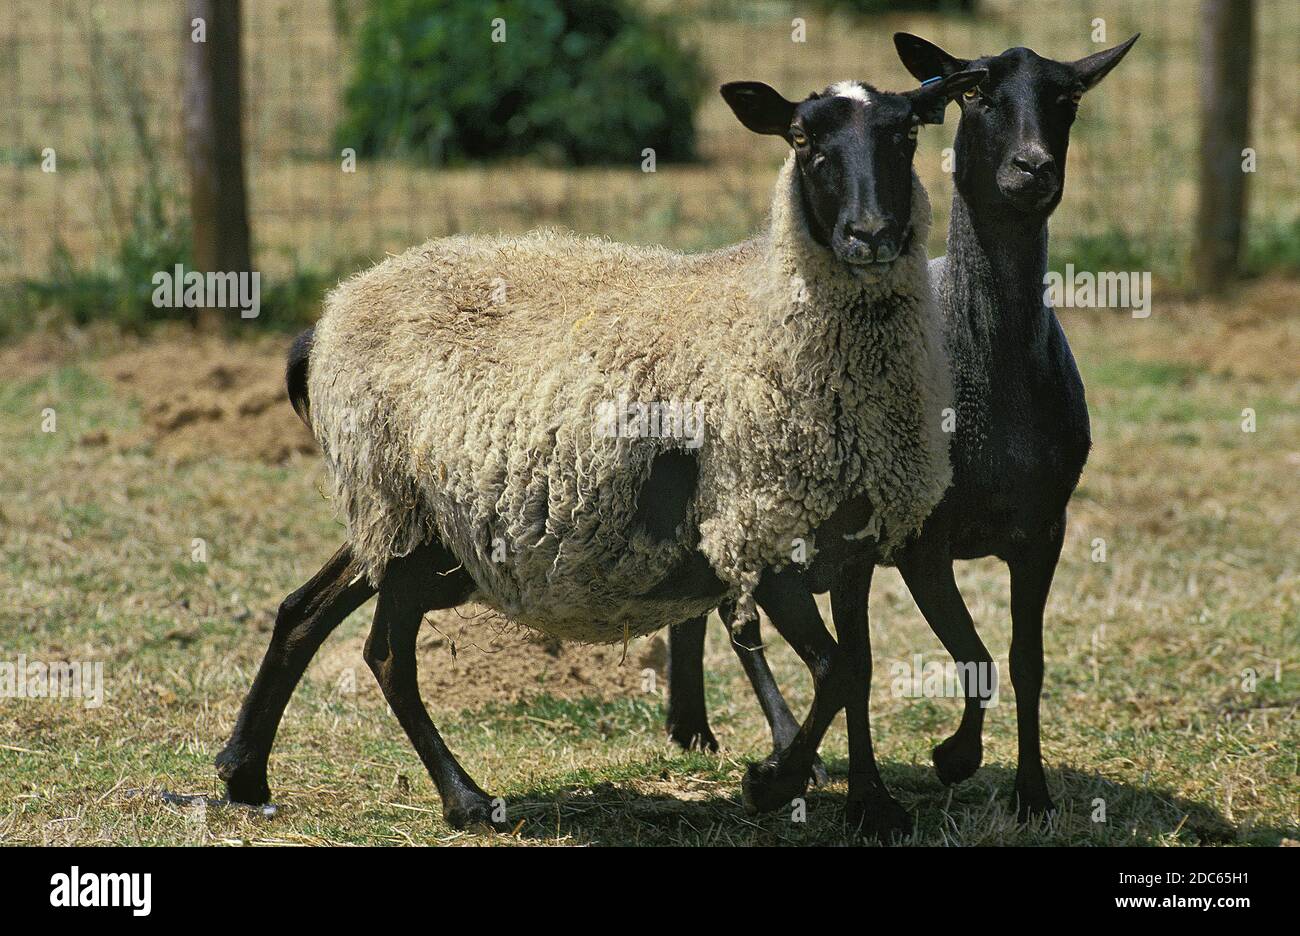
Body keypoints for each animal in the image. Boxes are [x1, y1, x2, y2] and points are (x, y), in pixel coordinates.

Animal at [216, 68, 987, 830]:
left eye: (907, 132)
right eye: (802, 139)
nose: (870, 234)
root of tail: (329, 316)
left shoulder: (856, 534)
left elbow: (858, 666)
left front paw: (873, 803)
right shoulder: (757, 531)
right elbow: (836, 670)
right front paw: (772, 781)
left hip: (413, 524)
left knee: (303, 611)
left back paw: (242, 771)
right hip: (398, 504)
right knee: (386, 654)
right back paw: (464, 798)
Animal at [665, 34, 1138, 833]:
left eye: (1068, 98)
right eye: (976, 96)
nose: (1033, 168)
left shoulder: (1044, 528)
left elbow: (1022, 659)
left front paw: (1030, 794)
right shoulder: (920, 541)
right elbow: (954, 655)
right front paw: (938, 766)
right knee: (738, 617)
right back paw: (716, 734)